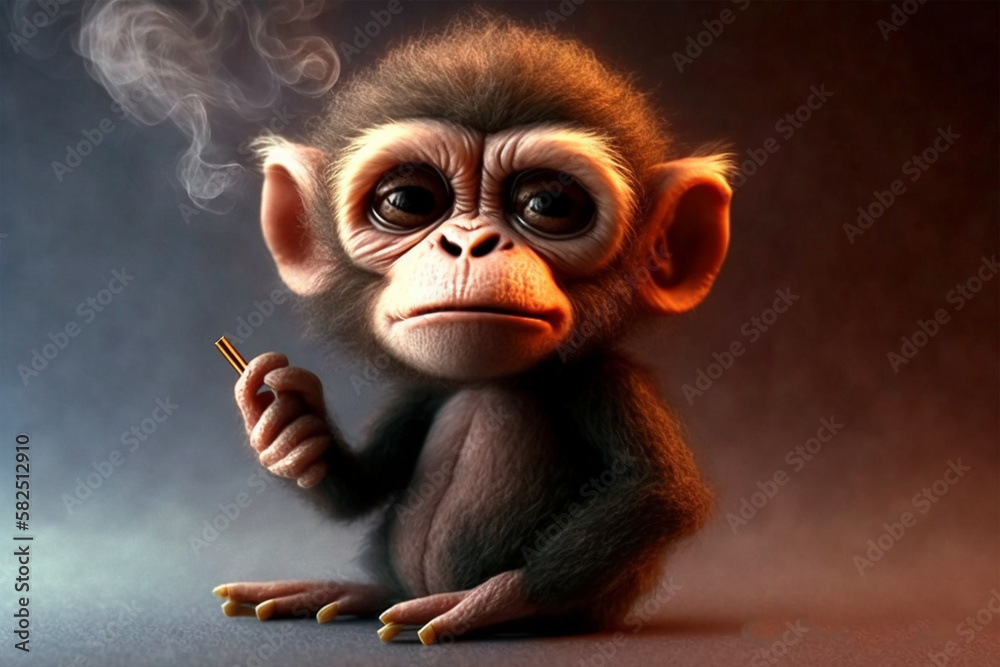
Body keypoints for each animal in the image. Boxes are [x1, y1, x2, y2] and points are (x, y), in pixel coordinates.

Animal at [212, 14, 732, 645]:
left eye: (549, 203)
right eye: (408, 199)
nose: (469, 242)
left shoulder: (604, 377)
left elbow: (658, 494)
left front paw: (489, 601)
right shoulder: (421, 391)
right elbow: (364, 486)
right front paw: (286, 424)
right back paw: (356, 592)